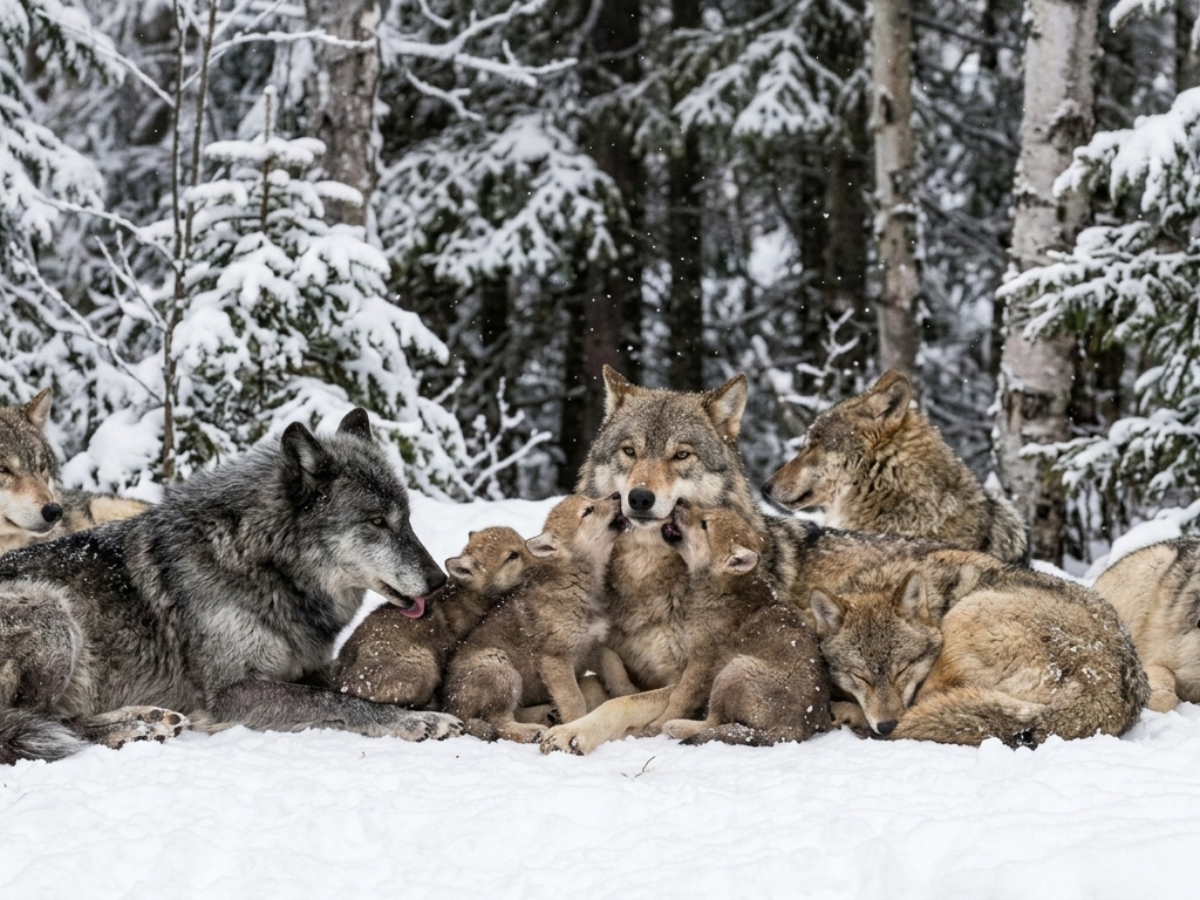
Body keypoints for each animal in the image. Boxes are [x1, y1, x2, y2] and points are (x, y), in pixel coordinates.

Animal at [0, 409, 460, 764]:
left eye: (406, 518)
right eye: (377, 521)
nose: (439, 580)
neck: (264, 564)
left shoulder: (306, 666)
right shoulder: (230, 692)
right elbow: (339, 700)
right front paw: (418, 720)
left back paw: (148, 719)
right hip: (51, 611)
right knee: (39, 723)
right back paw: (131, 729)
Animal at [333, 526, 534, 708]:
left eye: (524, 543)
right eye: (512, 556)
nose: (537, 561)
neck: (471, 595)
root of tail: (341, 682)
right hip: (424, 663)